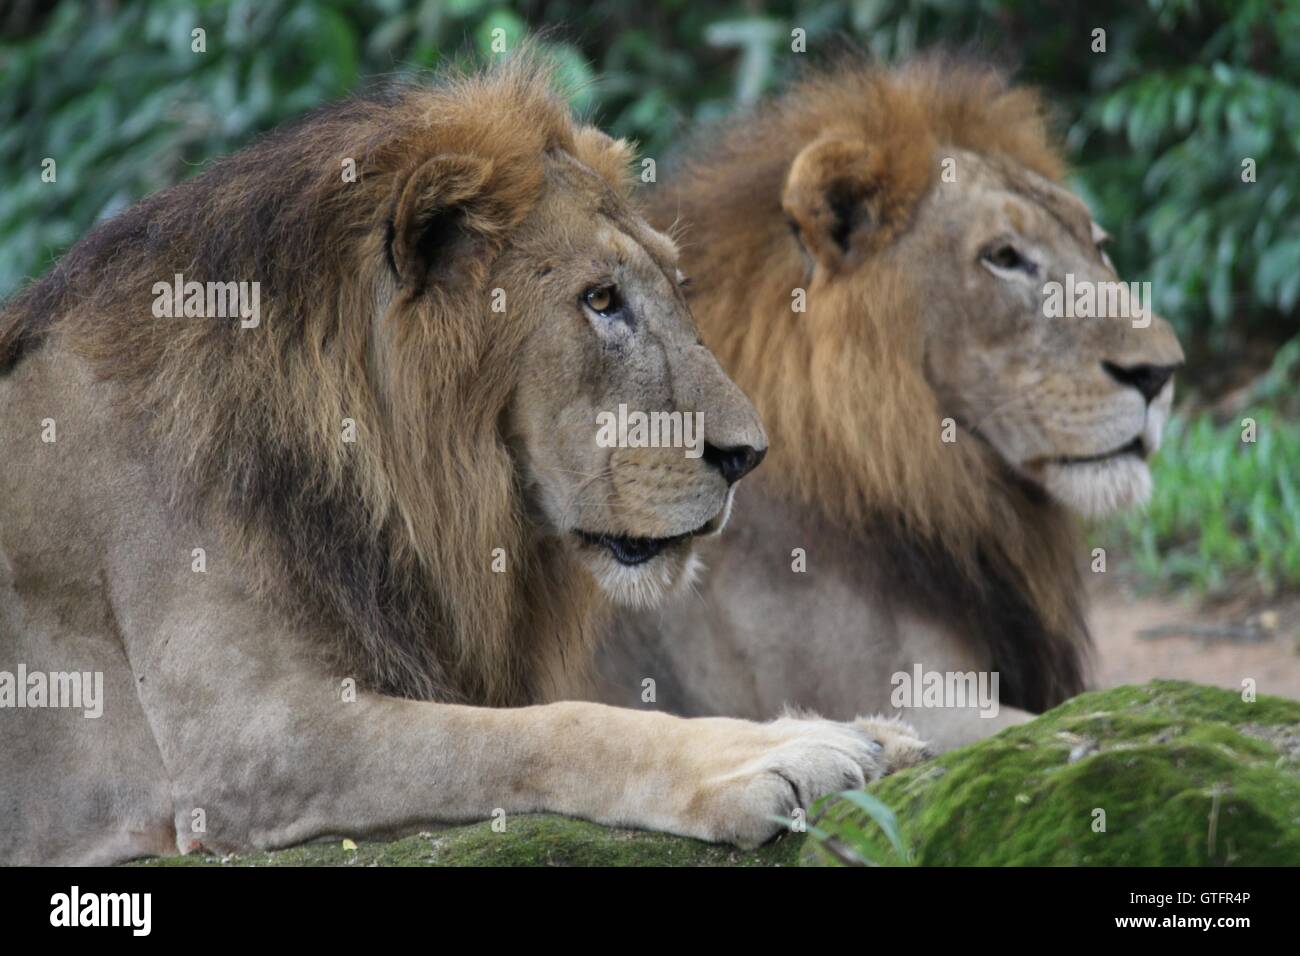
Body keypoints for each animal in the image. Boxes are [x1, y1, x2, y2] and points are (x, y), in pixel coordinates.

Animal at [0, 59, 927, 865]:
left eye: (677, 285)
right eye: (600, 299)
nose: (748, 455)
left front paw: (867, 731)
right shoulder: (254, 745)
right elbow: (559, 725)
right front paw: (779, 755)